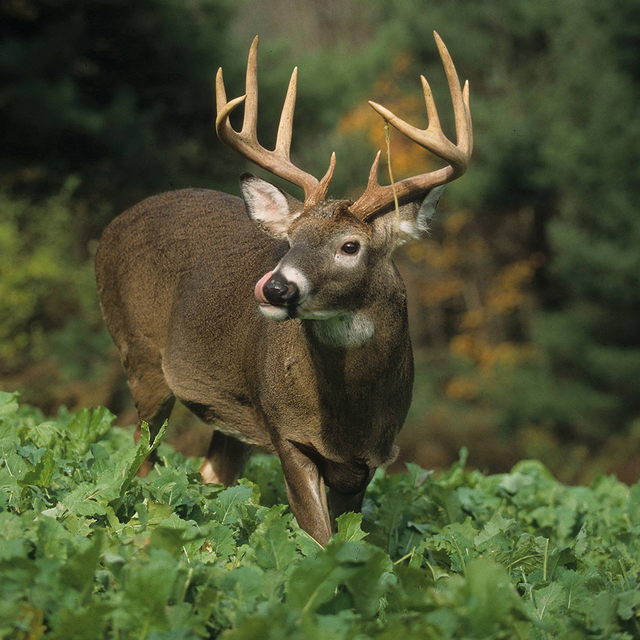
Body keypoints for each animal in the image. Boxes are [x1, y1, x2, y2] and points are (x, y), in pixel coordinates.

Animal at [95, 32, 472, 546]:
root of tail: (108, 231)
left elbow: (345, 536)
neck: (349, 415)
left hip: (229, 407)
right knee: (140, 454)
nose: (273, 288)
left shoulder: (371, 457)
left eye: (350, 245)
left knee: (214, 473)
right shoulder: (287, 431)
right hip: (140, 354)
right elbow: (319, 537)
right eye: (290, 240)